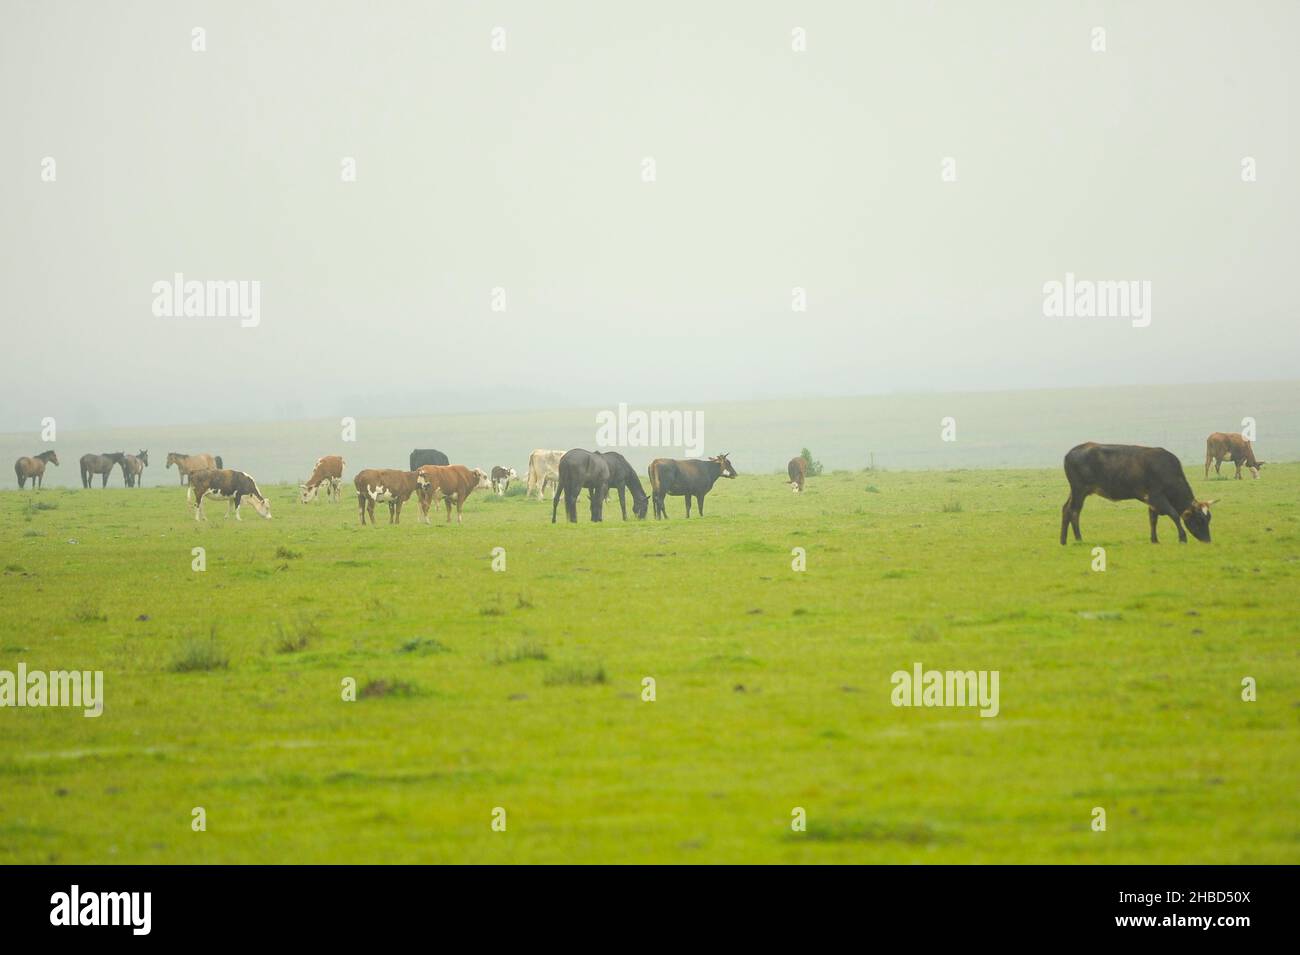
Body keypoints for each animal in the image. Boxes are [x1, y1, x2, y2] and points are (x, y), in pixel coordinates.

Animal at [1061, 442, 1216, 544]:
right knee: (1074, 511)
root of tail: (1070, 453)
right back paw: (1078, 538)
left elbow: (1152, 520)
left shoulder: (1152, 502)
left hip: (1076, 491)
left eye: (1209, 518)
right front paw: (1182, 537)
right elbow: (1174, 515)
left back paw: (1063, 540)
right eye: (1200, 519)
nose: (1207, 540)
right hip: (1079, 491)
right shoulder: (1157, 497)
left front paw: (1154, 540)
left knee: (1066, 509)